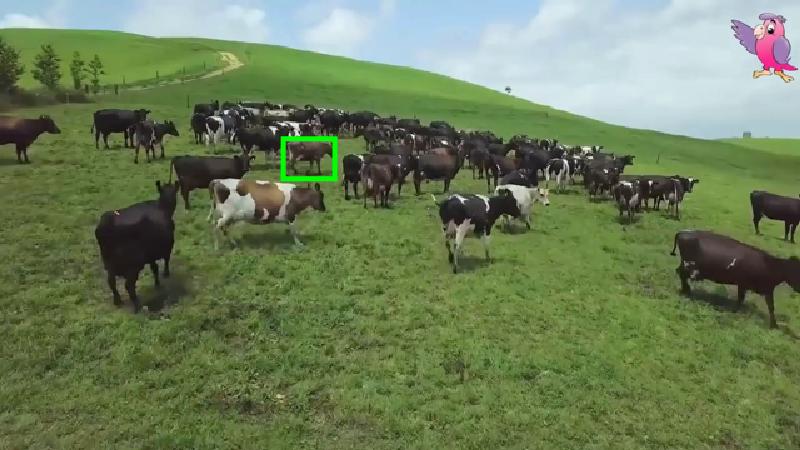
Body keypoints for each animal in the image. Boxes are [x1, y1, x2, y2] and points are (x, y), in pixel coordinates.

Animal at [94, 180, 179, 313]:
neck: (162, 206)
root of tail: (107, 224)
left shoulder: (150, 254)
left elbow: (154, 268)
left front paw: (157, 283)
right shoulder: (167, 246)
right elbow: (165, 260)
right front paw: (165, 274)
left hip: (109, 264)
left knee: (111, 282)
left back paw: (117, 301)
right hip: (132, 265)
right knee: (129, 285)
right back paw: (137, 306)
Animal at [670, 230, 800, 328]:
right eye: (795, 271)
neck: (769, 265)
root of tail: (682, 232)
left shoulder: (767, 289)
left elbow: (771, 307)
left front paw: (774, 325)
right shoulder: (743, 283)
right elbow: (741, 299)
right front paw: (735, 311)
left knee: (679, 273)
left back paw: (686, 290)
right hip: (688, 266)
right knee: (681, 274)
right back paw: (685, 291)